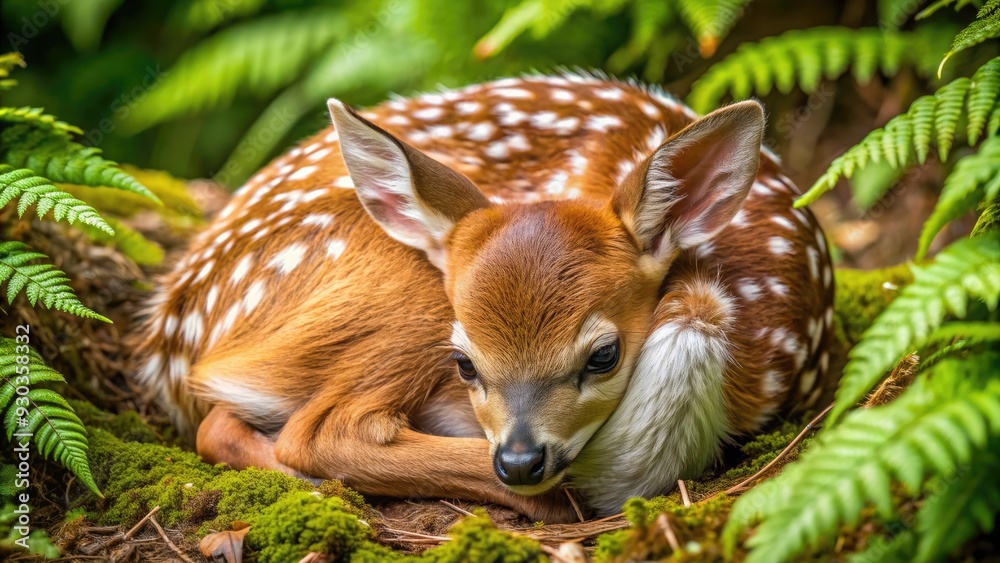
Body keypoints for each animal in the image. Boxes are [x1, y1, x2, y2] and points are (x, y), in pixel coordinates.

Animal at [135, 73, 834, 522]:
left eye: (603, 356)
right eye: (464, 363)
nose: (520, 462)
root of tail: (172, 338)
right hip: (408, 290)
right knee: (317, 430)